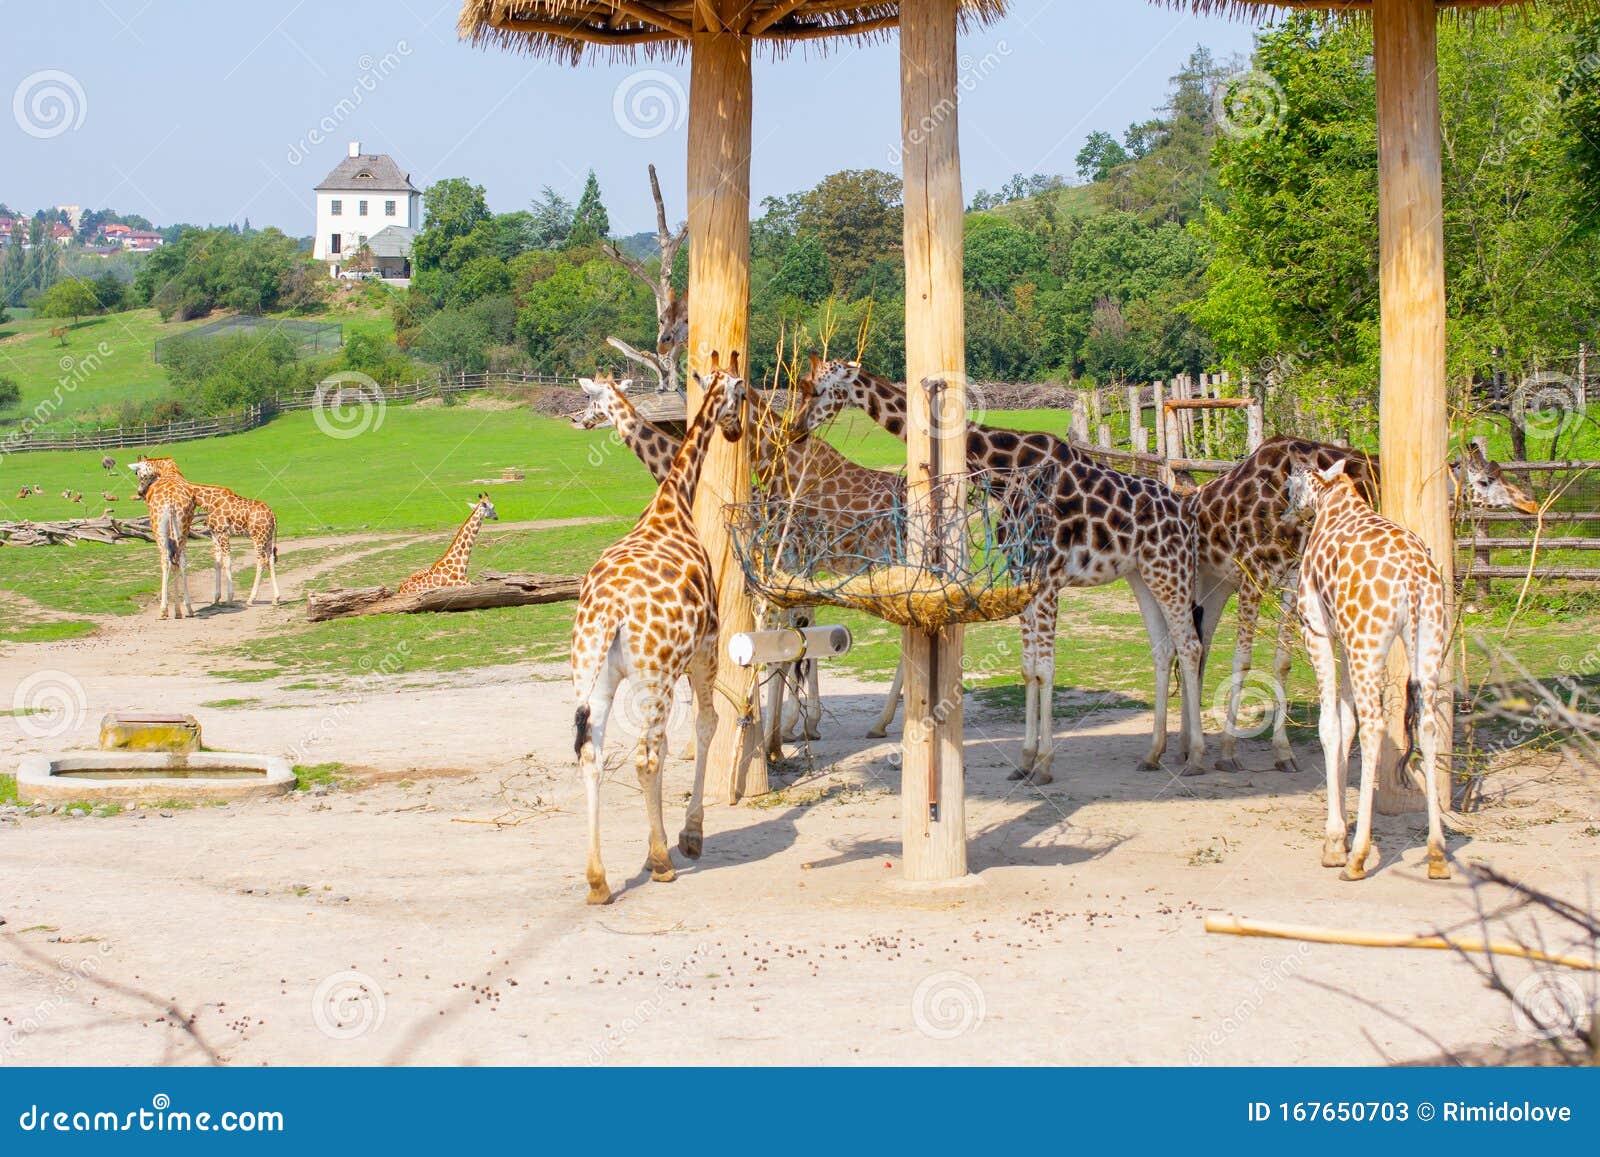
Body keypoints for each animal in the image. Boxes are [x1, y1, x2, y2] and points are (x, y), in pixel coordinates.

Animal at [131, 459, 196, 620]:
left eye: (139, 474)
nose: (140, 492)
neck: (168, 469)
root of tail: (171, 501)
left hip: (158, 529)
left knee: (166, 560)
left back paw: (163, 610)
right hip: (182, 529)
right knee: (180, 560)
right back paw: (186, 609)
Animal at [570, 353, 746, 905]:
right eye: (742, 394)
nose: (735, 430)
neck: (673, 501)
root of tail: (610, 613)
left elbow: (671, 743)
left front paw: (658, 845)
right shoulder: (705, 649)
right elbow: (705, 726)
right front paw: (686, 838)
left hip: (593, 677)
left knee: (592, 754)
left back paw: (598, 881)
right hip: (653, 675)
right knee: (644, 757)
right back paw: (664, 866)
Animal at [797, 359, 1207, 782]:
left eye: (816, 389)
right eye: (801, 386)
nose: (796, 430)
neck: (1002, 470)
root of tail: (1187, 513)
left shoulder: (1046, 579)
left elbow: (1045, 669)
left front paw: (1044, 764)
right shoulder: (1022, 576)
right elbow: (1029, 669)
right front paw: (1026, 759)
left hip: (1169, 568)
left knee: (1191, 646)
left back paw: (1195, 756)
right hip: (1142, 573)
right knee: (1164, 649)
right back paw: (1154, 752)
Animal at [1190, 438, 1539, 773]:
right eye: (1485, 480)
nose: (1529, 503)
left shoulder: (1291, 577)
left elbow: (1282, 663)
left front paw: (1283, 753)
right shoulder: (1252, 575)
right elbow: (1243, 661)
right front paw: (1227, 753)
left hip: (1216, 585)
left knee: (1199, 649)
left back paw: (1187, 749)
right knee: (1192, 650)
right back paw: (1193, 753)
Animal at [1286, 458, 1451, 881]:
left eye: (1291, 484)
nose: (1288, 510)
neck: (1334, 499)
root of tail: (1412, 577)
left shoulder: (1318, 629)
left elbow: (1331, 725)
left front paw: (1334, 844)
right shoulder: (1344, 639)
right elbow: (1346, 723)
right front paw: (1338, 838)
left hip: (1368, 640)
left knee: (1375, 725)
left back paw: (1358, 858)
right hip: (1427, 636)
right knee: (1427, 723)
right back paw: (1437, 854)